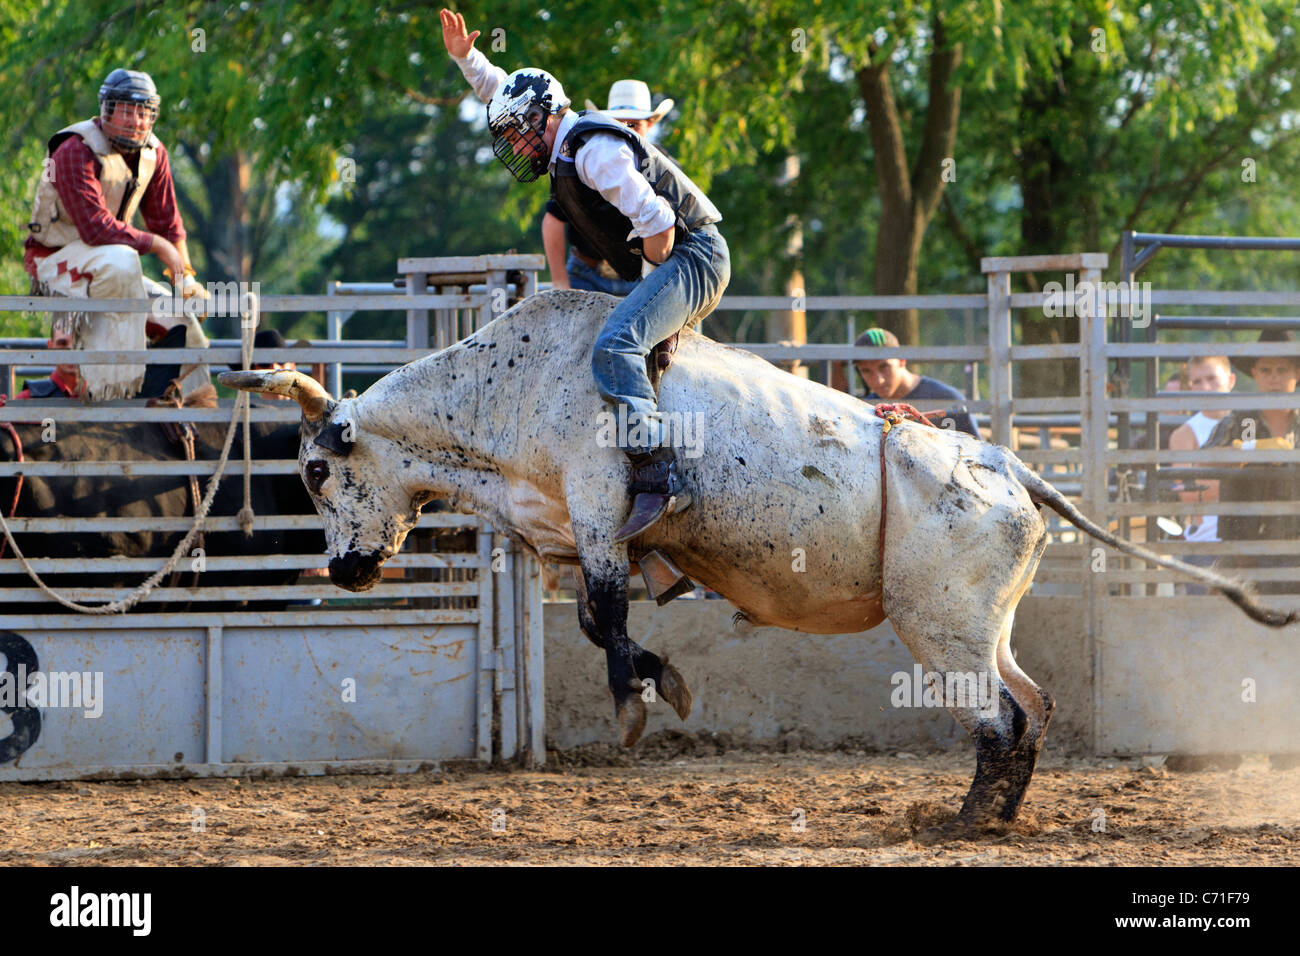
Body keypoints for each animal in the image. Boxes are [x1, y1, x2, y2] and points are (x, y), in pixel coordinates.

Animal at [219, 289, 1296, 840]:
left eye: (312, 467)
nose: (345, 573)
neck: (505, 390)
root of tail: (1013, 466)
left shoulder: (601, 509)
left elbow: (607, 619)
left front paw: (646, 695)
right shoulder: (570, 530)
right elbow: (597, 615)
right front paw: (653, 685)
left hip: (939, 626)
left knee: (996, 717)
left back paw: (958, 823)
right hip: (985, 623)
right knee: (1031, 705)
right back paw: (987, 820)